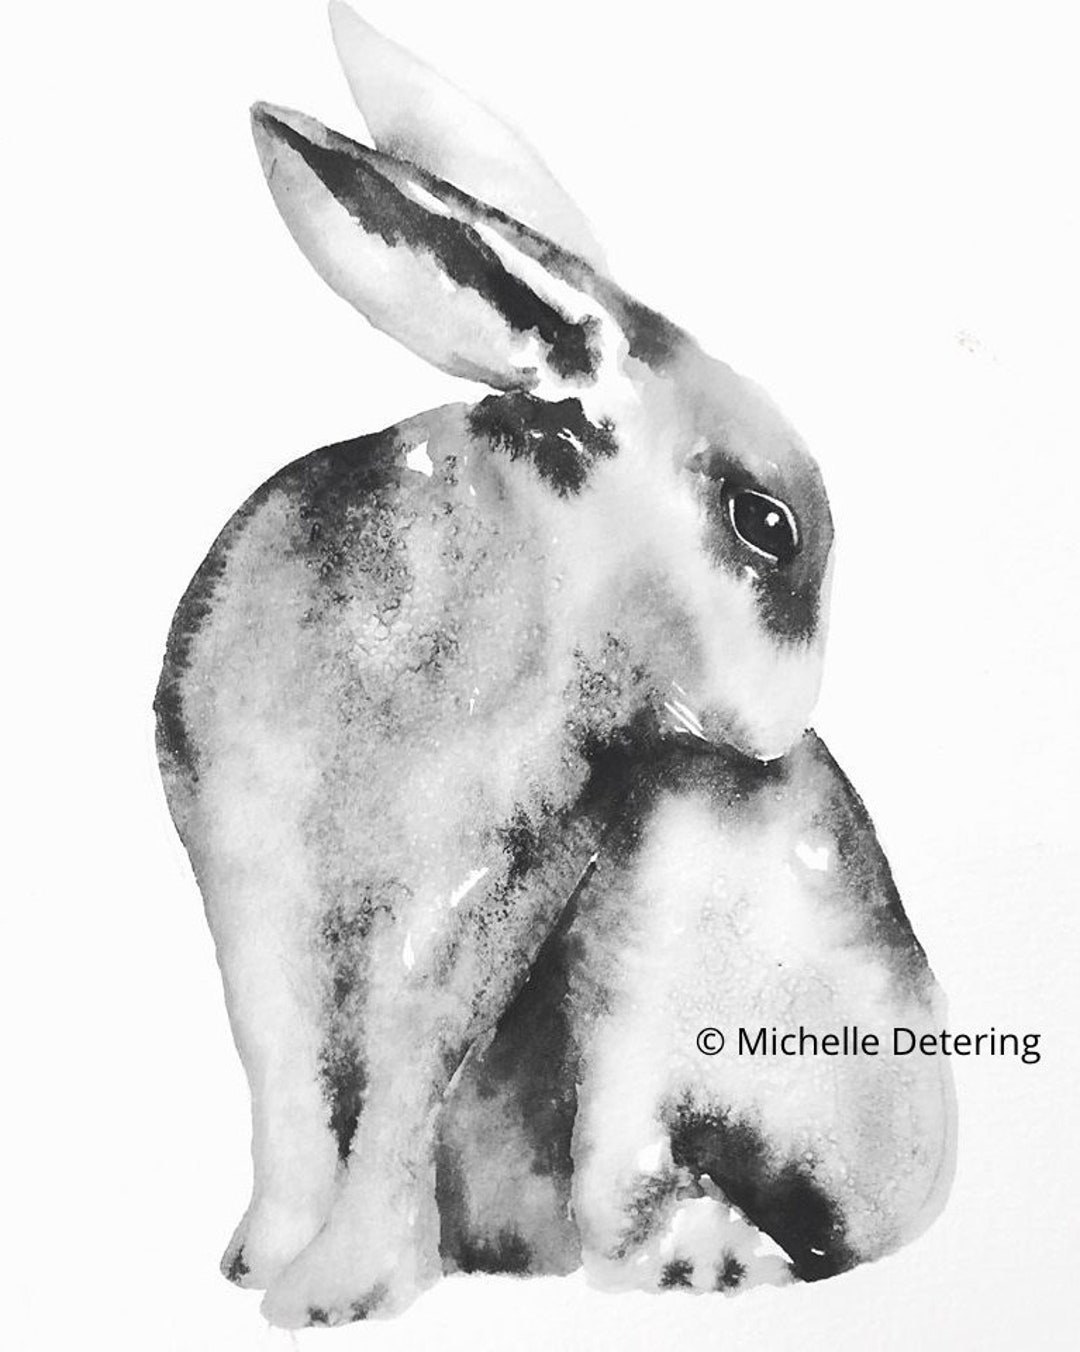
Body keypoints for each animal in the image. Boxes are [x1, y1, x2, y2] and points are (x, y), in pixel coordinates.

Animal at [155, 3, 835, 1327]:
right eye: (763, 523)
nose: (781, 733)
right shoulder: (248, 875)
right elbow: (285, 1079)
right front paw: (273, 1266)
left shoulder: (488, 902)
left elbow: (405, 1079)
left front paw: (342, 1287)